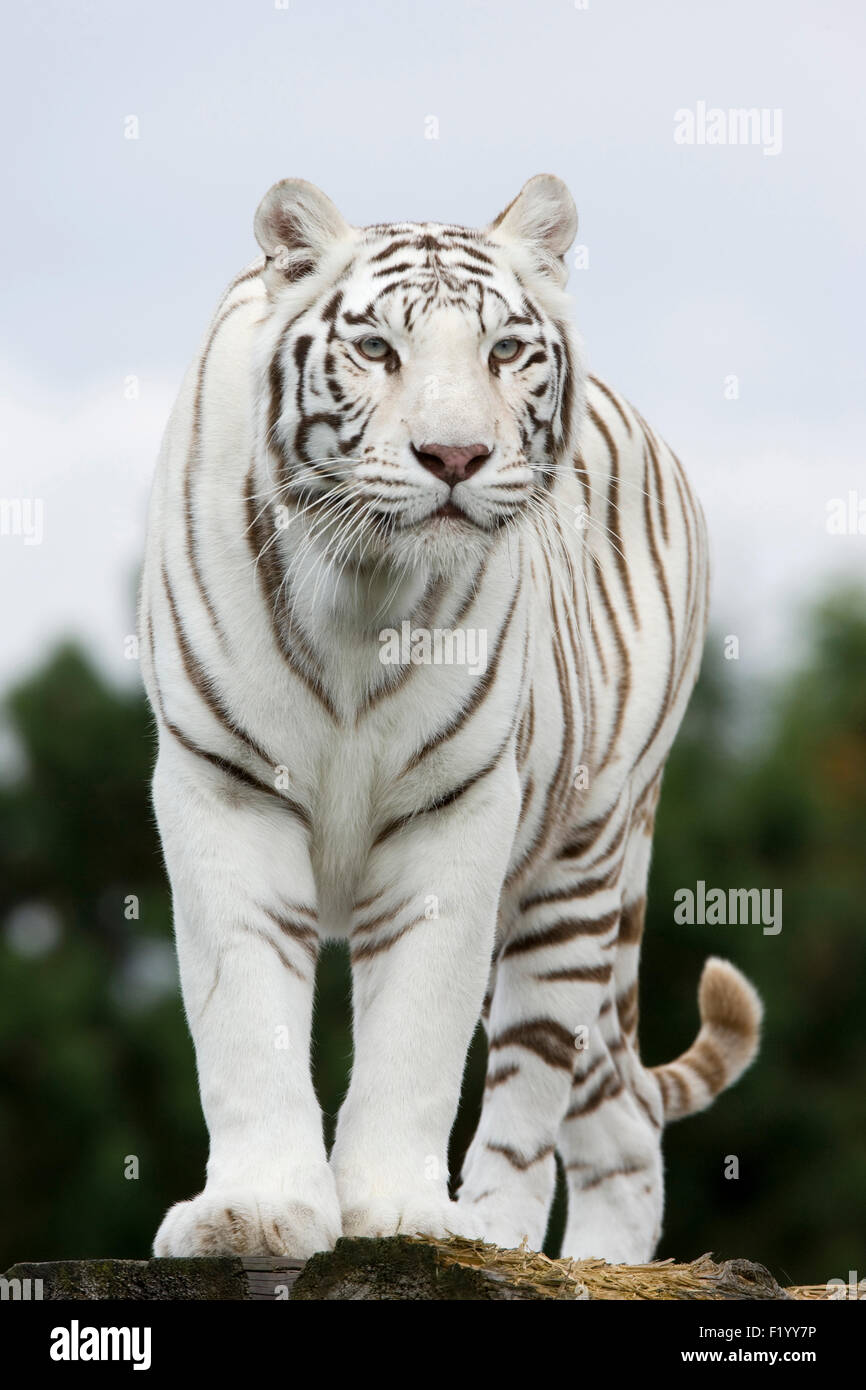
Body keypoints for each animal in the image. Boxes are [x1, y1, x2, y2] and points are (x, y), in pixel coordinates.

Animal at [139, 173, 762, 1265]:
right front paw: (254, 1210)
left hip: (577, 873)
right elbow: (245, 1018)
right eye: (375, 348)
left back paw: (498, 1238)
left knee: (542, 1101)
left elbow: (416, 1035)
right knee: (620, 1123)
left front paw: (394, 1212)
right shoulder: (226, 787)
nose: (456, 454)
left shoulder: (454, 810)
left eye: (504, 351)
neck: (359, 588)